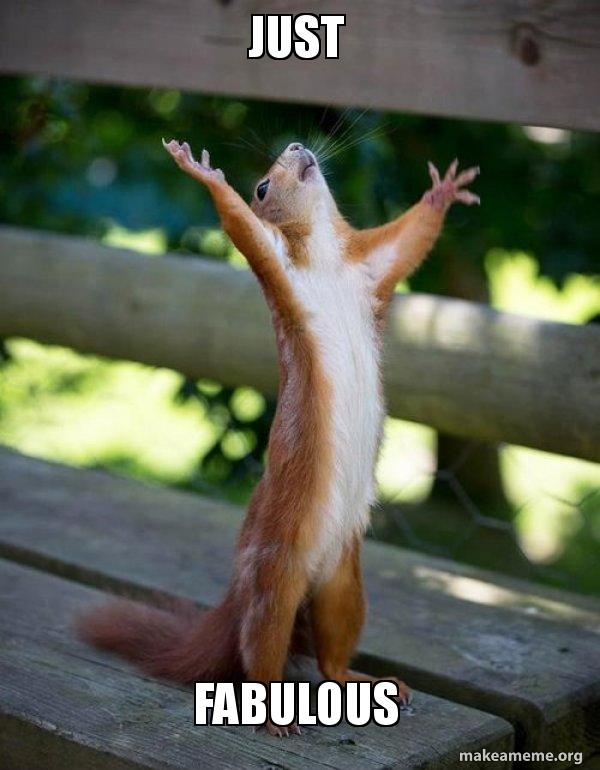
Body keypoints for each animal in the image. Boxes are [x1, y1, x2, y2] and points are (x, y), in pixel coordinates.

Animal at [78, 138, 479, 737]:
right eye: (262, 186)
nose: (296, 146)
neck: (328, 259)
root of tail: (240, 591)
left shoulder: (371, 267)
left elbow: (408, 241)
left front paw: (443, 191)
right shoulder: (278, 266)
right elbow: (242, 227)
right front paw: (204, 173)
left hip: (344, 583)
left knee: (332, 652)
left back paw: (359, 680)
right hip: (275, 576)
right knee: (260, 649)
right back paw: (273, 711)